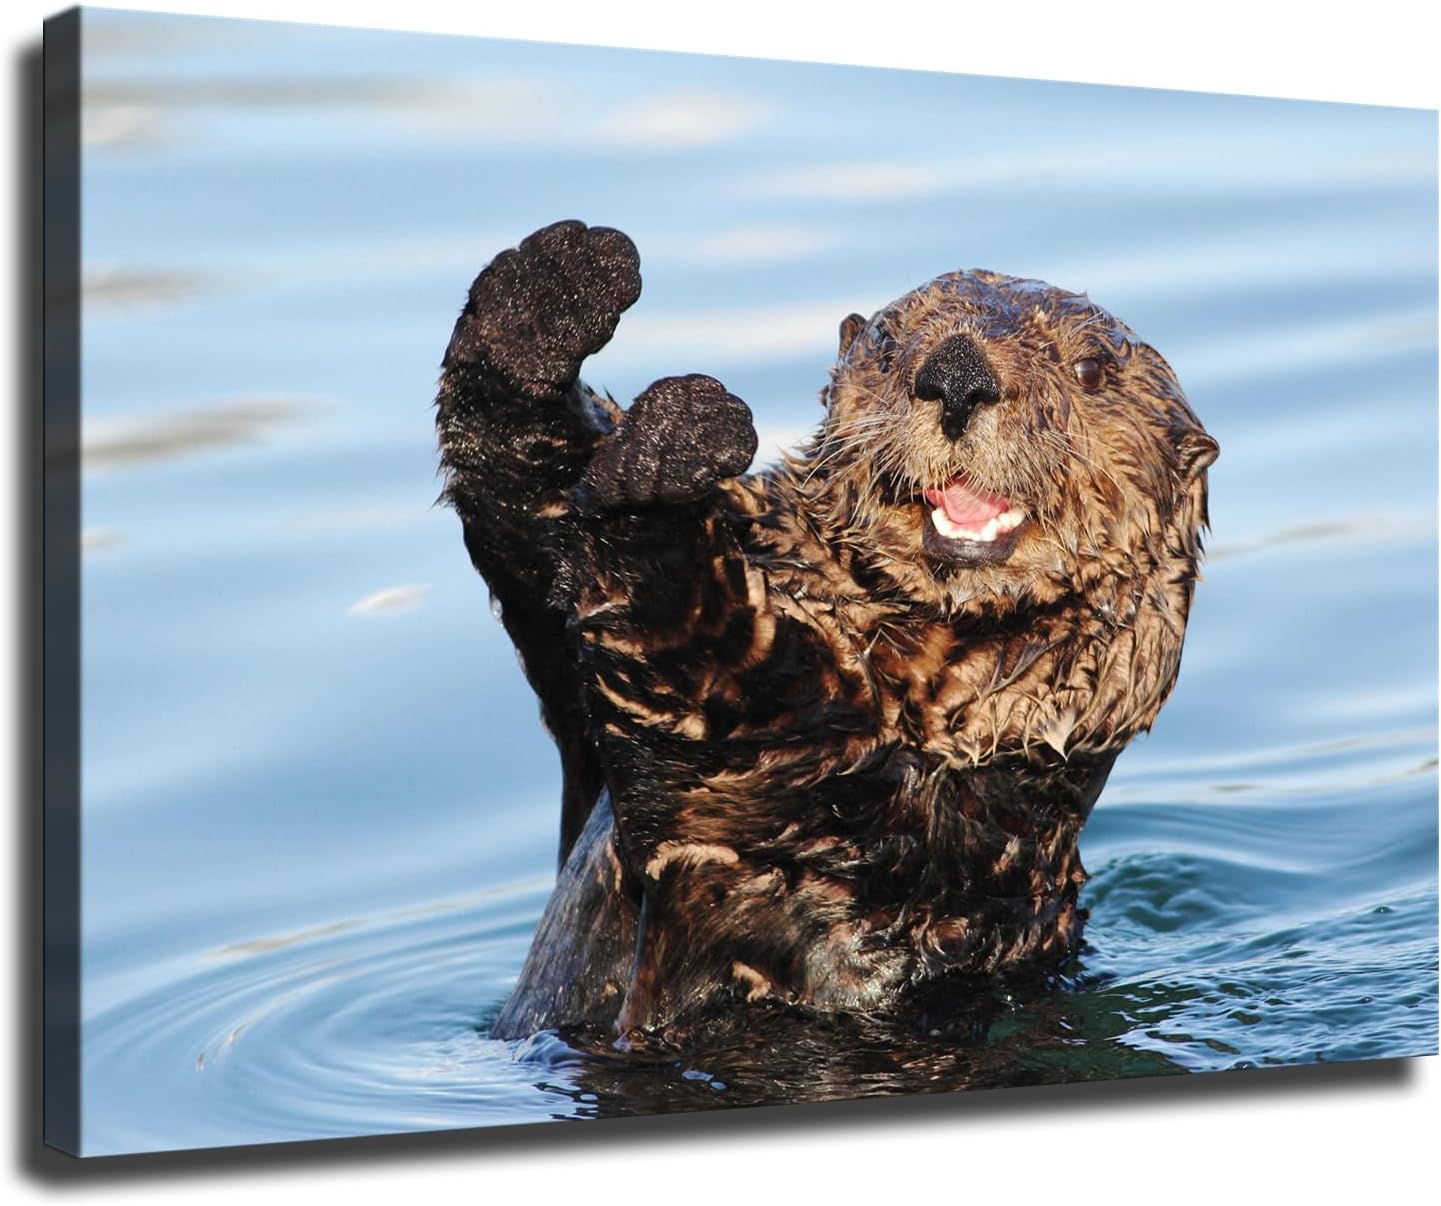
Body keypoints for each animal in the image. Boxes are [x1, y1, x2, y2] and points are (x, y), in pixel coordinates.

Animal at [435, 220, 1216, 1042]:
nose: (957, 374)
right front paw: (552, 291)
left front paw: (666, 457)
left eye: (1091, 368)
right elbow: (536, 539)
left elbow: (704, 667)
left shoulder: (818, 803)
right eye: (888, 343)